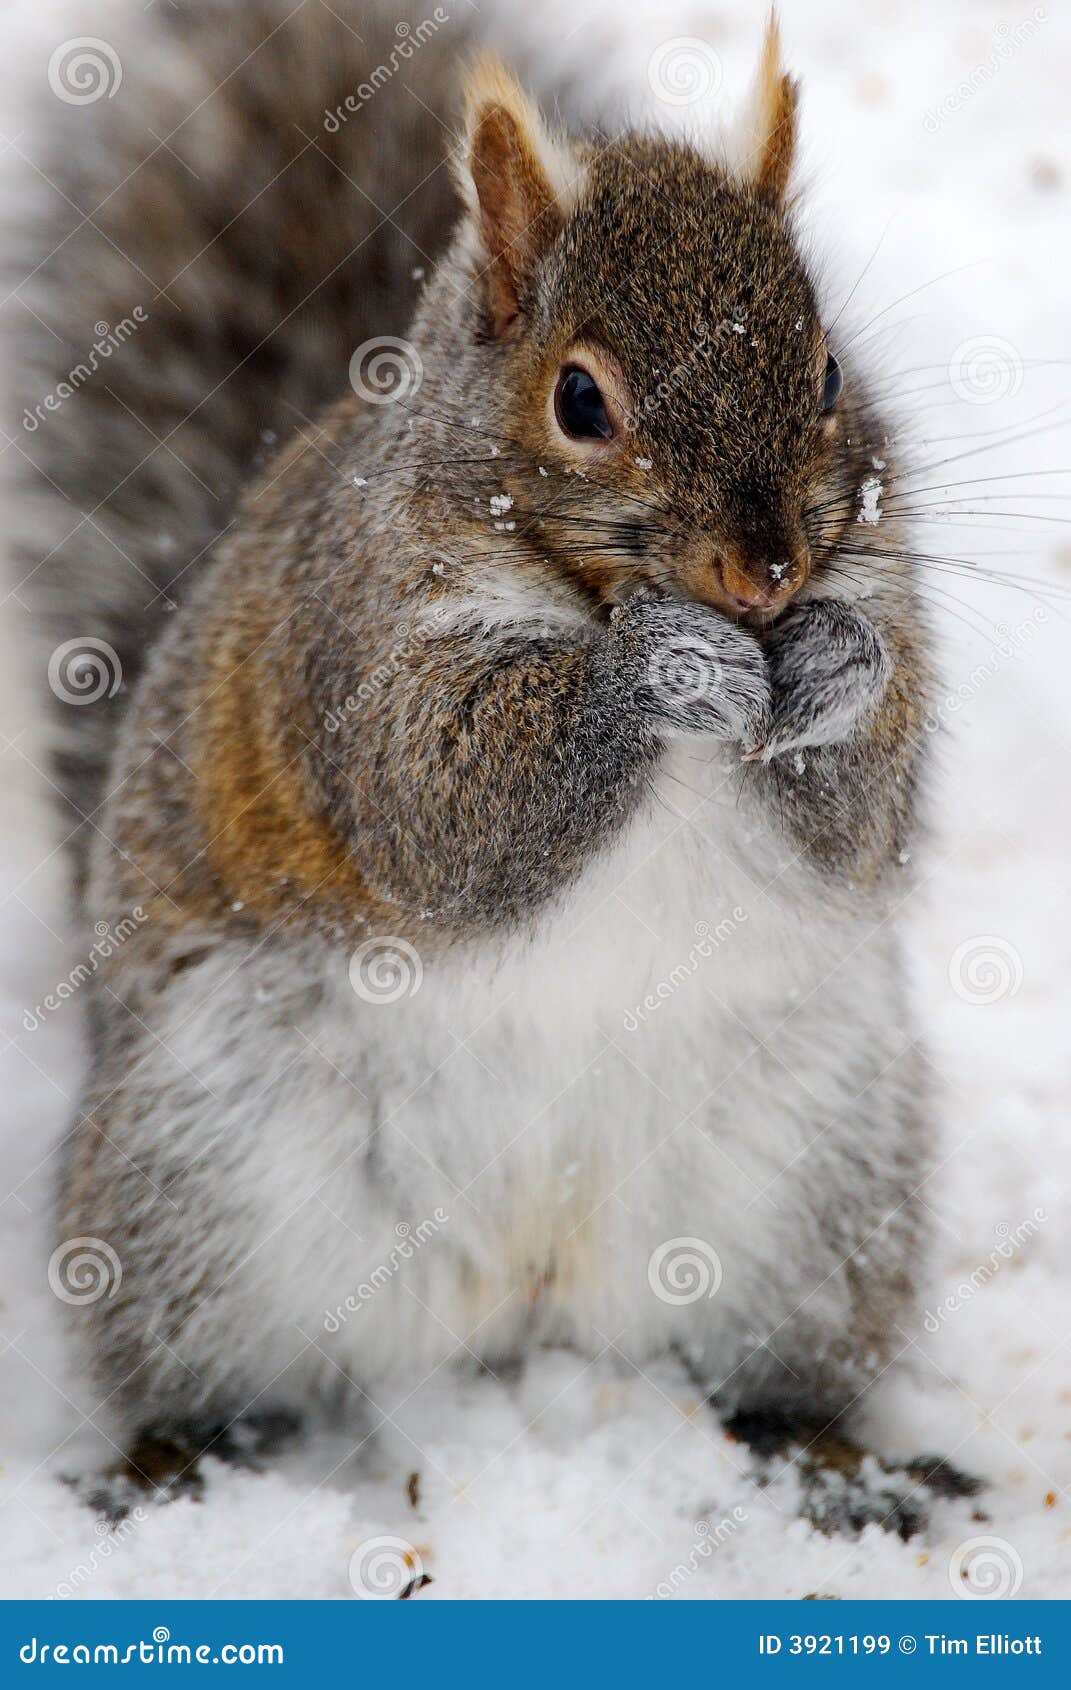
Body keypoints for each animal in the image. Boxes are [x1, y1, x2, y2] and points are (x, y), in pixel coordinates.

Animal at [11, 2, 942, 1498]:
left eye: (827, 372)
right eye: (580, 401)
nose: (765, 572)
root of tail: (522, 1294)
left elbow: (863, 817)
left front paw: (834, 668)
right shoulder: (357, 647)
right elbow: (445, 808)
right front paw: (658, 670)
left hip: (822, 1184)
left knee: (774, 1367)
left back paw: (836, 1460)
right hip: (198, 1172)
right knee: (195, 1375)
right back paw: (173, 1466)